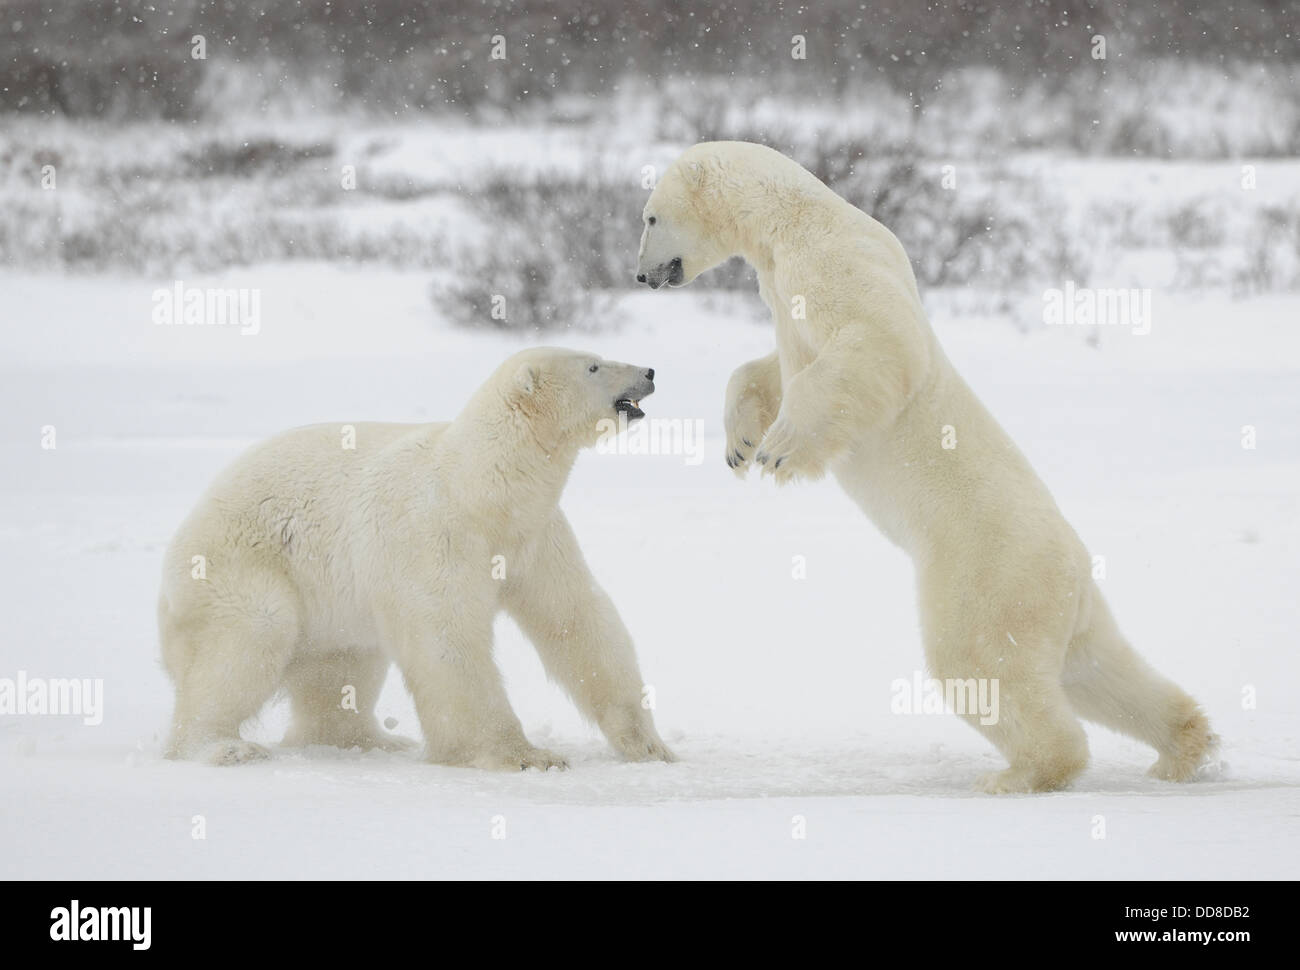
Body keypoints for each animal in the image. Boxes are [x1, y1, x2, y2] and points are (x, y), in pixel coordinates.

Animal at [158, 347, 674, 770]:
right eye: (593, 366)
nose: (649, 372)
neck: (481, 491)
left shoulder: (534, 535)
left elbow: (575, 617)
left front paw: (649, 744)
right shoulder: (433, 532)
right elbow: (447, 637)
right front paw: (526, 755)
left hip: (330, 600)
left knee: (344, 663)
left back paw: (371, 740)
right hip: (241, 565)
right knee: (247, 638)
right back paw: (223, 746)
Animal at [636, 141, 1216, 793]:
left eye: (650, 217)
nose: (640, 274)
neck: (792, 218)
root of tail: (1072, 563)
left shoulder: (834, 262)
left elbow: (880, 341)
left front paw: (780, 449)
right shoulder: (785, 291)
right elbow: (770, 369)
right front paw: (739, 443)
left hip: (988, 573)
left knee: (979, 659)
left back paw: (1023, 773)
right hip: (1066, 601)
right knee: (1098, 668)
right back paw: (1182, 746)